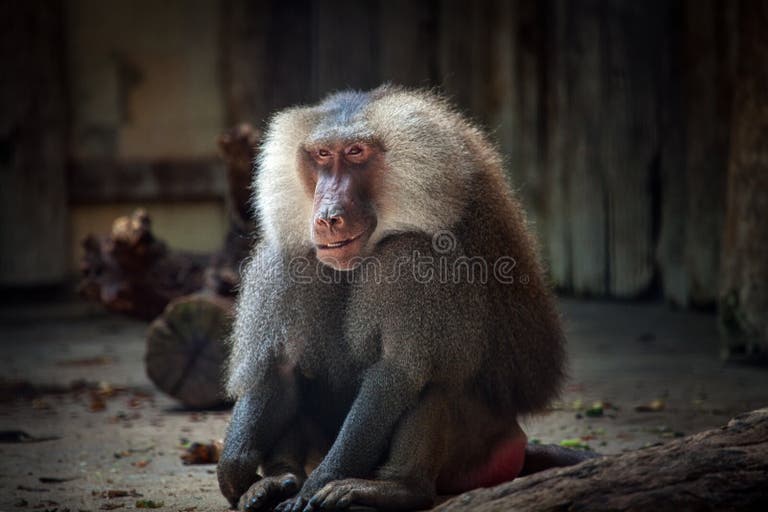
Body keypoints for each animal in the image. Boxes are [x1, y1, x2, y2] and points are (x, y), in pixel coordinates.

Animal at [217, 85, 598, 512]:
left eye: (355, 152)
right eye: (321, 155)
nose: (328, 217)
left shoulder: (416, 258)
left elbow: (396, 373)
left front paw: (318, 484)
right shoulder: (288, 258)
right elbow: (278, 369)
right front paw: (237, 475)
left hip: (476, 445)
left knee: (432, 381)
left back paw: (395, 489)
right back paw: (279, 480)